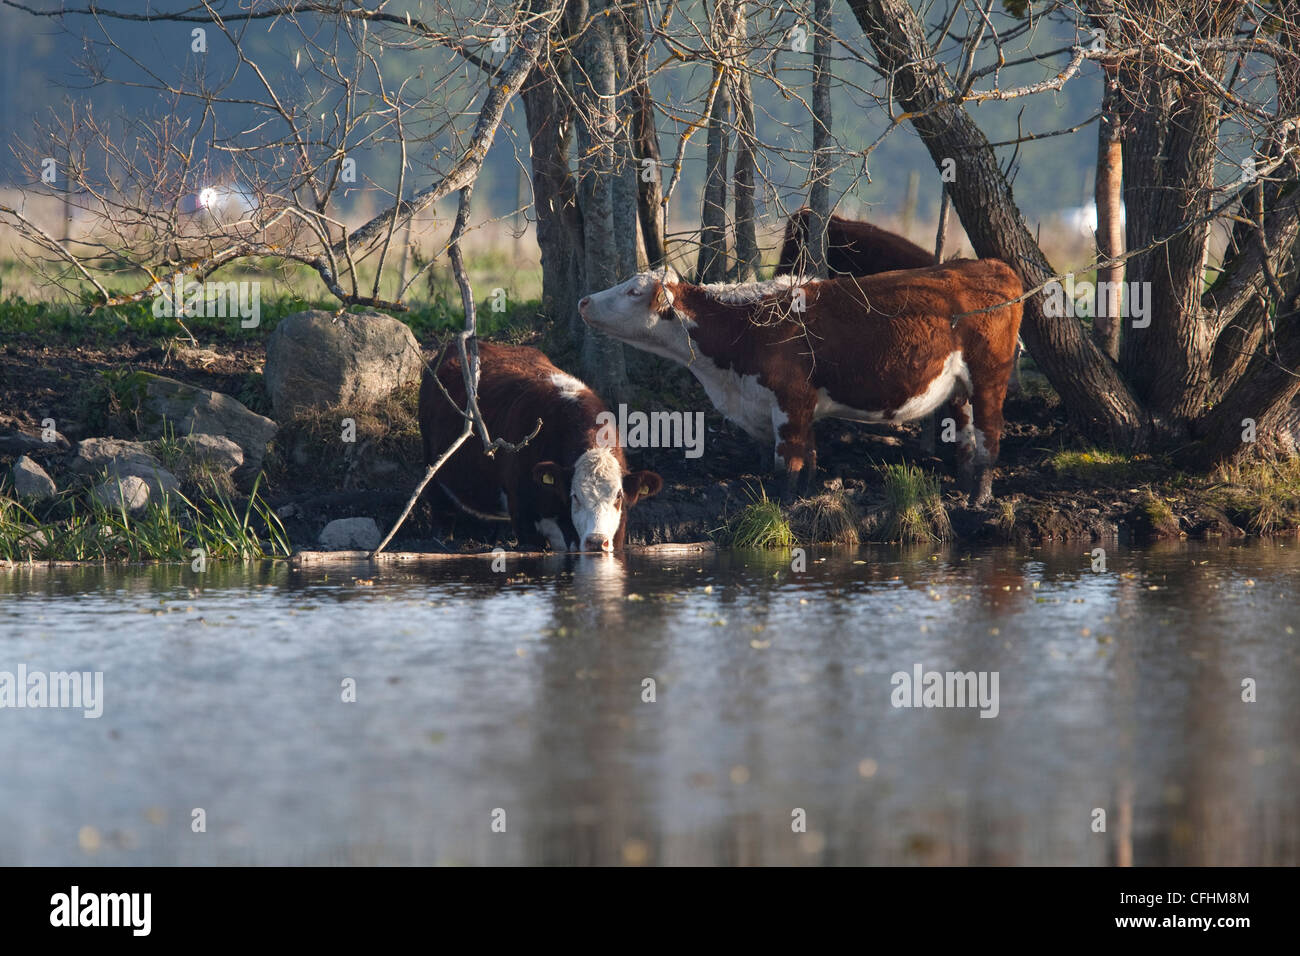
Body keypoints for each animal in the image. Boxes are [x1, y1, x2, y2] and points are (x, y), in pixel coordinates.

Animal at [419, 342, 663, 552]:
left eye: (618, 497)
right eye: (575, 496)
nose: (595, 541)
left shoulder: (617, 533)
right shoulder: (524, 517)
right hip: (431, 458)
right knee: (440, 507)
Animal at [578, 259, 1023, 505]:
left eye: (632, 291)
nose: (583, 300)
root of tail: (991, 265)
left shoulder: (789, 400)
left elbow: (788, 461)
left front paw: (785, 504)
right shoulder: (798, 403)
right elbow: (808, 456)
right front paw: (807, 496)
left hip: (990, 376)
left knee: (989, 437)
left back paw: (979, 498)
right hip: (961, 389)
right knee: (965, 439)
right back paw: (962, 488)